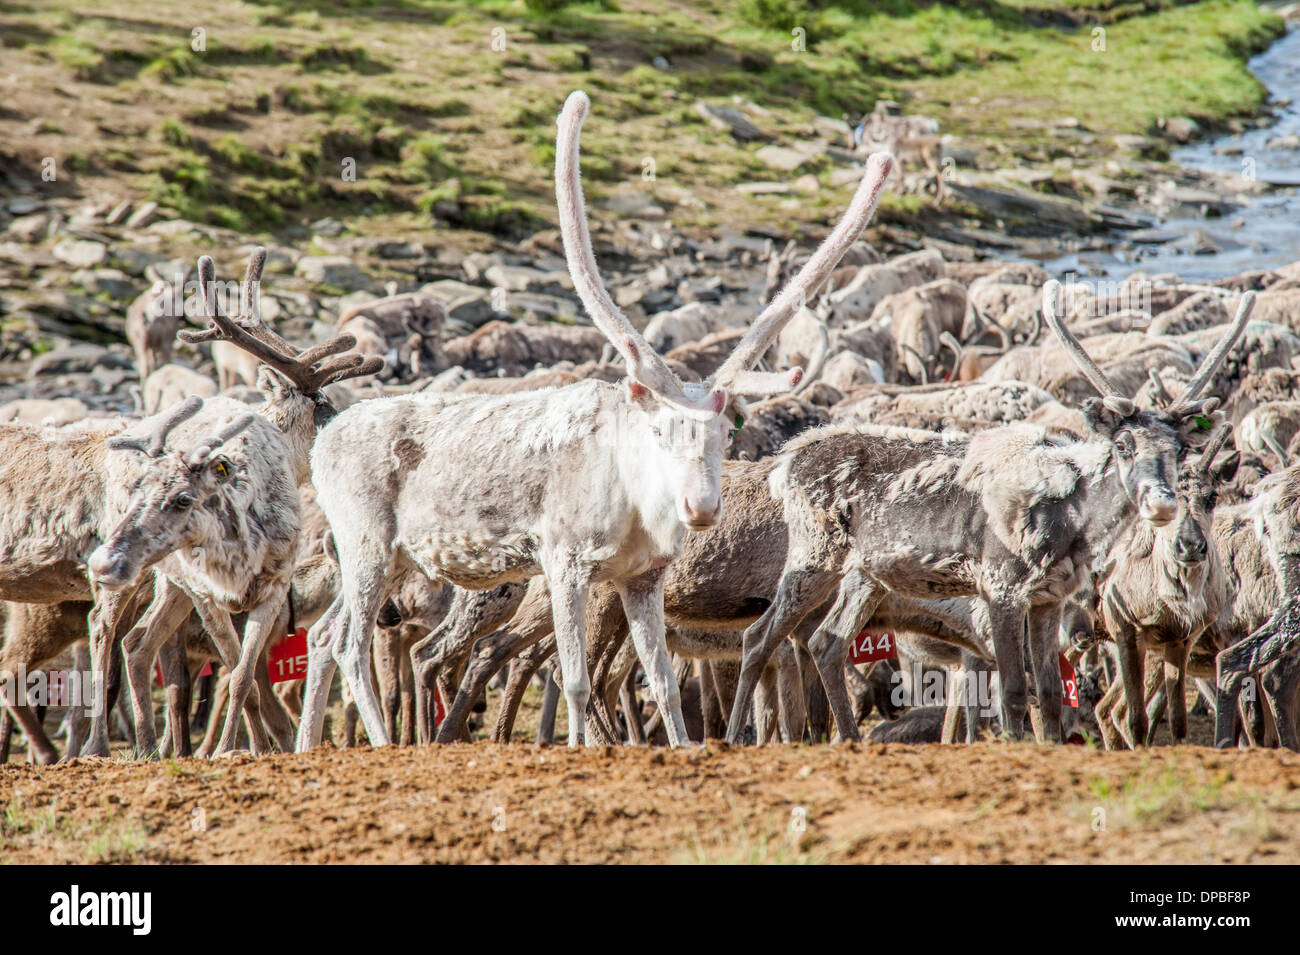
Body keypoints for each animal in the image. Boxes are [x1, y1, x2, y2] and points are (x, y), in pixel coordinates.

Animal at [294, 90, 894, 751]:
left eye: (725, 432)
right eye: (659, 430)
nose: (701, 507)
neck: (633, 504)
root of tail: (322, 441)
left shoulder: (643, 577)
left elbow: (662, 681)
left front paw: (679, 746)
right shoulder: (563, 558)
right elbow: (576, 679)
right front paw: (580, 746)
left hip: (385, 555)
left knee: (321, 636)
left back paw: (306, 746)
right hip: (366, 542)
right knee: (351, 645)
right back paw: (381, 742)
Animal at [724, 283, 1253, 745]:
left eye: (1181, 449)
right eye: (1123, 444)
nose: (1161, 503)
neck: (1075, 520)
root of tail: (788, 460)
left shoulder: (1049, 598)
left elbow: (1049, 694)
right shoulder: (1001, 586)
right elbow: (1014, 691)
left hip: (865, 575)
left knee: (826, 643)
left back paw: (851, 740)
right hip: (813, 557)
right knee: (758, 637)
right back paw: (731, 737)